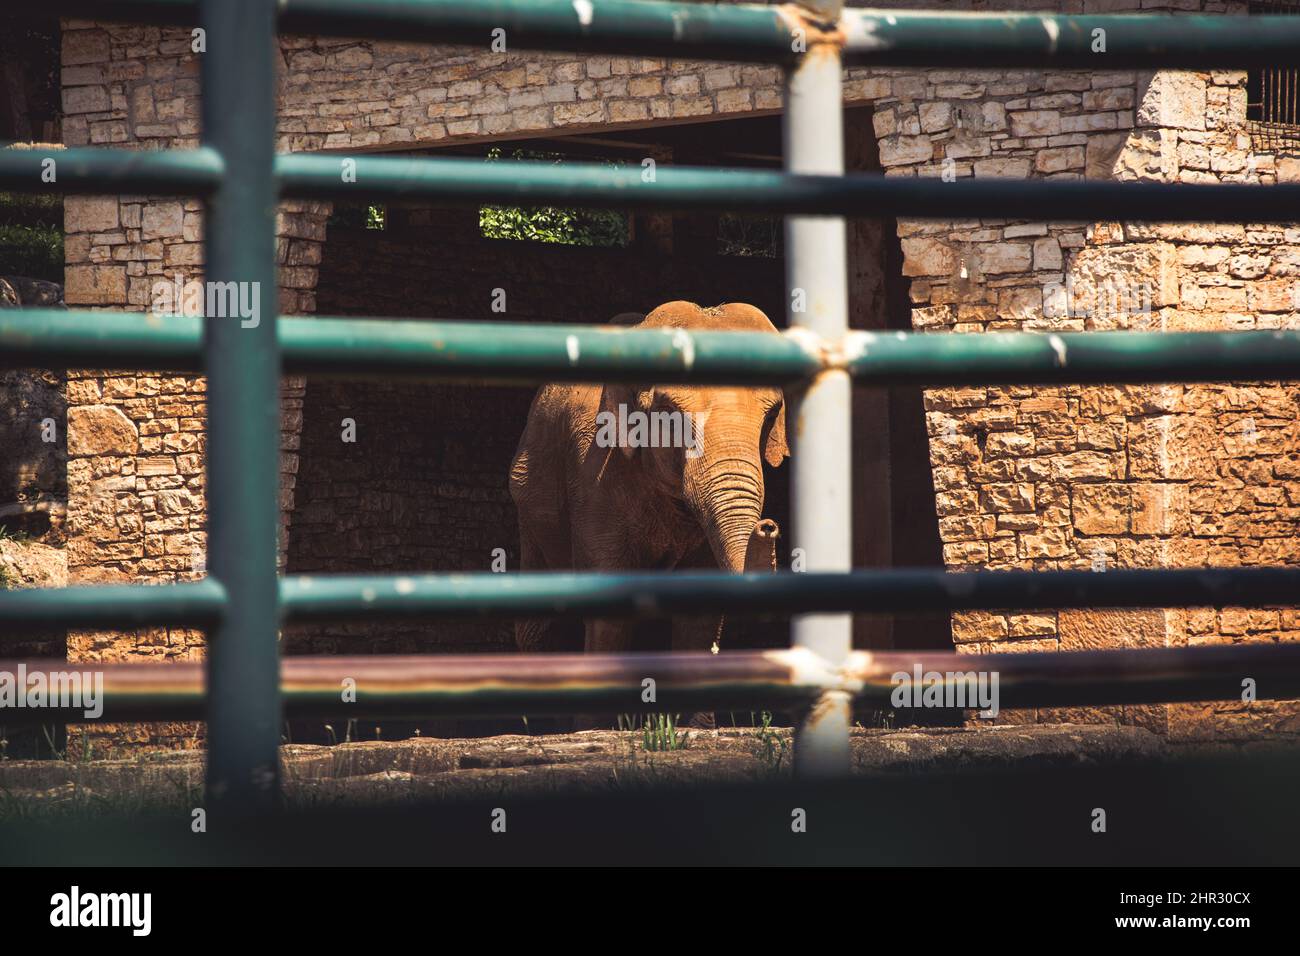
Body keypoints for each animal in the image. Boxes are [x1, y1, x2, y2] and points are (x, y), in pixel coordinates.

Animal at [509, 300, 789, 691]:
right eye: (671, 416)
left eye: (771, 415)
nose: (768, 525)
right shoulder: (593, 472)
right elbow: (608, 615)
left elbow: (698, 615)